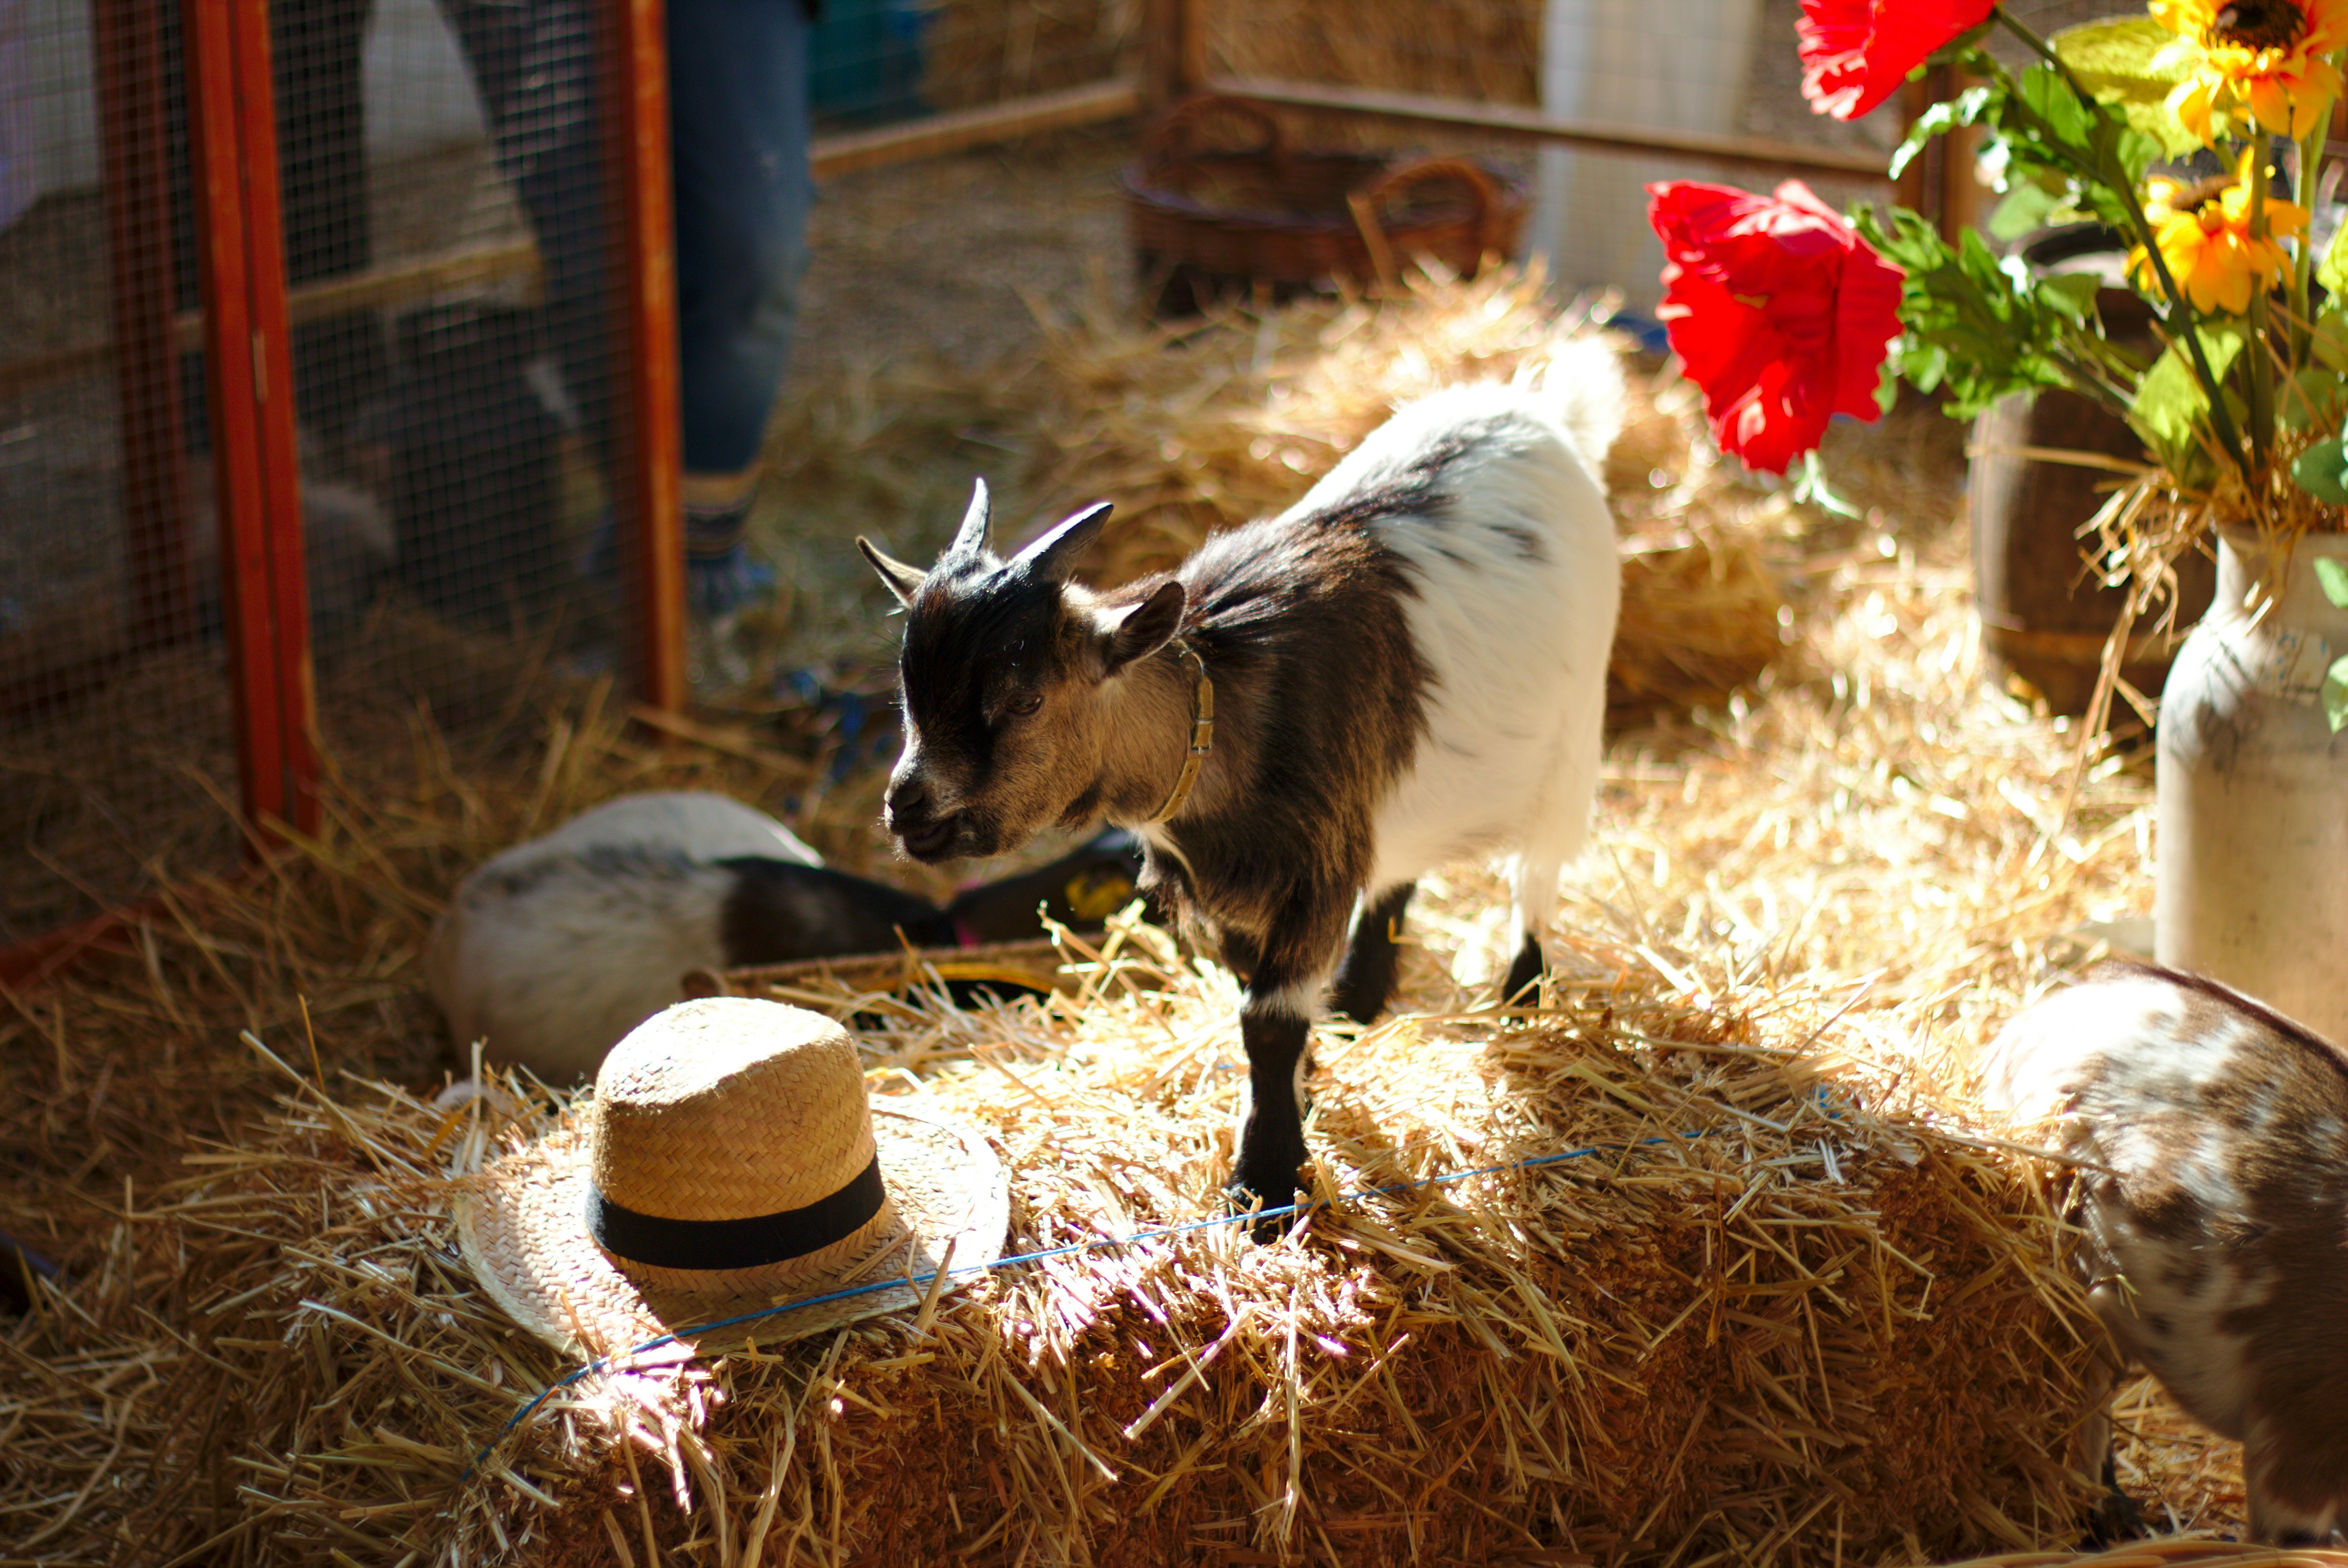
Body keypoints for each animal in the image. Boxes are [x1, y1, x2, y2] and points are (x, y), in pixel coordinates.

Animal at [857, 339, 1625, 1218]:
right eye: (908, 691)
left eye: (1024, 699)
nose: (909, 808)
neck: (1225, 716)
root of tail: (1546, 410)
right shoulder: (1229, 888)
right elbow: (1253, 999)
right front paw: (1305, 1089)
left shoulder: (1314, 870)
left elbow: (1268, 1019)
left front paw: (1266, 1181)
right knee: (1401, 869)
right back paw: (1360, 998)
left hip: (1574, 737)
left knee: (1536, 882)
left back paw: (1522, 1004)